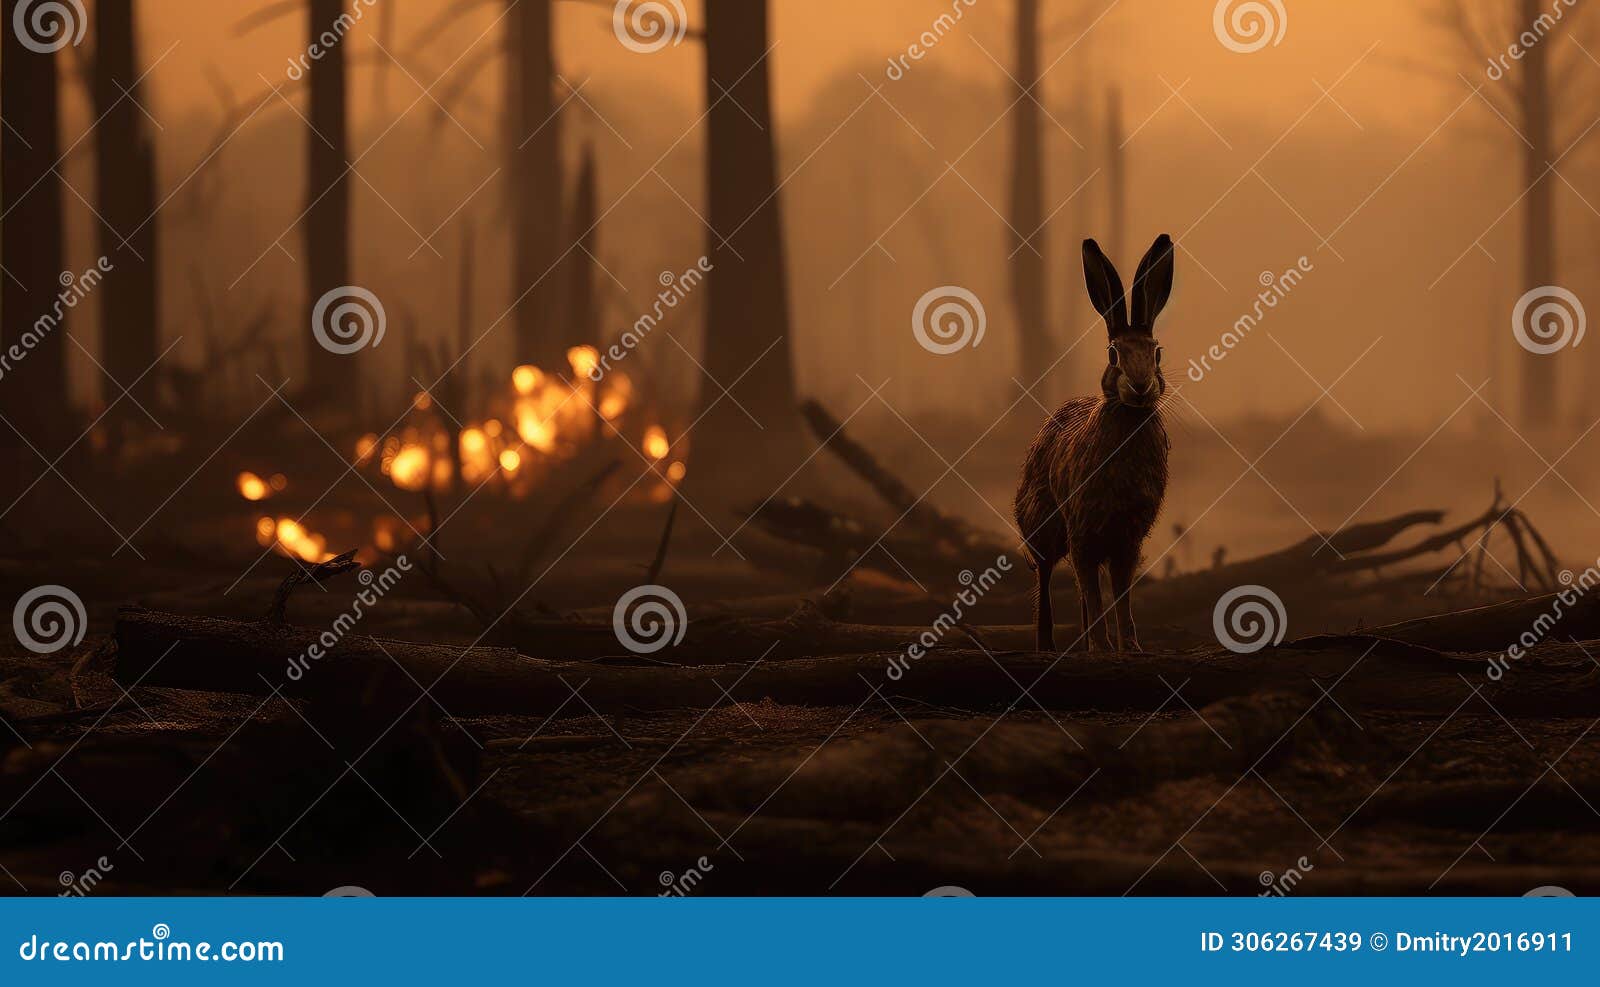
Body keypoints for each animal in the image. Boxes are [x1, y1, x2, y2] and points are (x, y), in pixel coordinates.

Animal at [1013, 234, 1175, 653]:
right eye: (1114, 354)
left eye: (1157, 353)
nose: (1141, 387)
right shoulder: (1084, 533)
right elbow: (1094, 590)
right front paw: (1103, 648)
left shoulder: (1126, 542)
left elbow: (1120, 594)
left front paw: (1130, 648)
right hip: (1044, 527)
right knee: (1046, 578)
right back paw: (1049, 645)